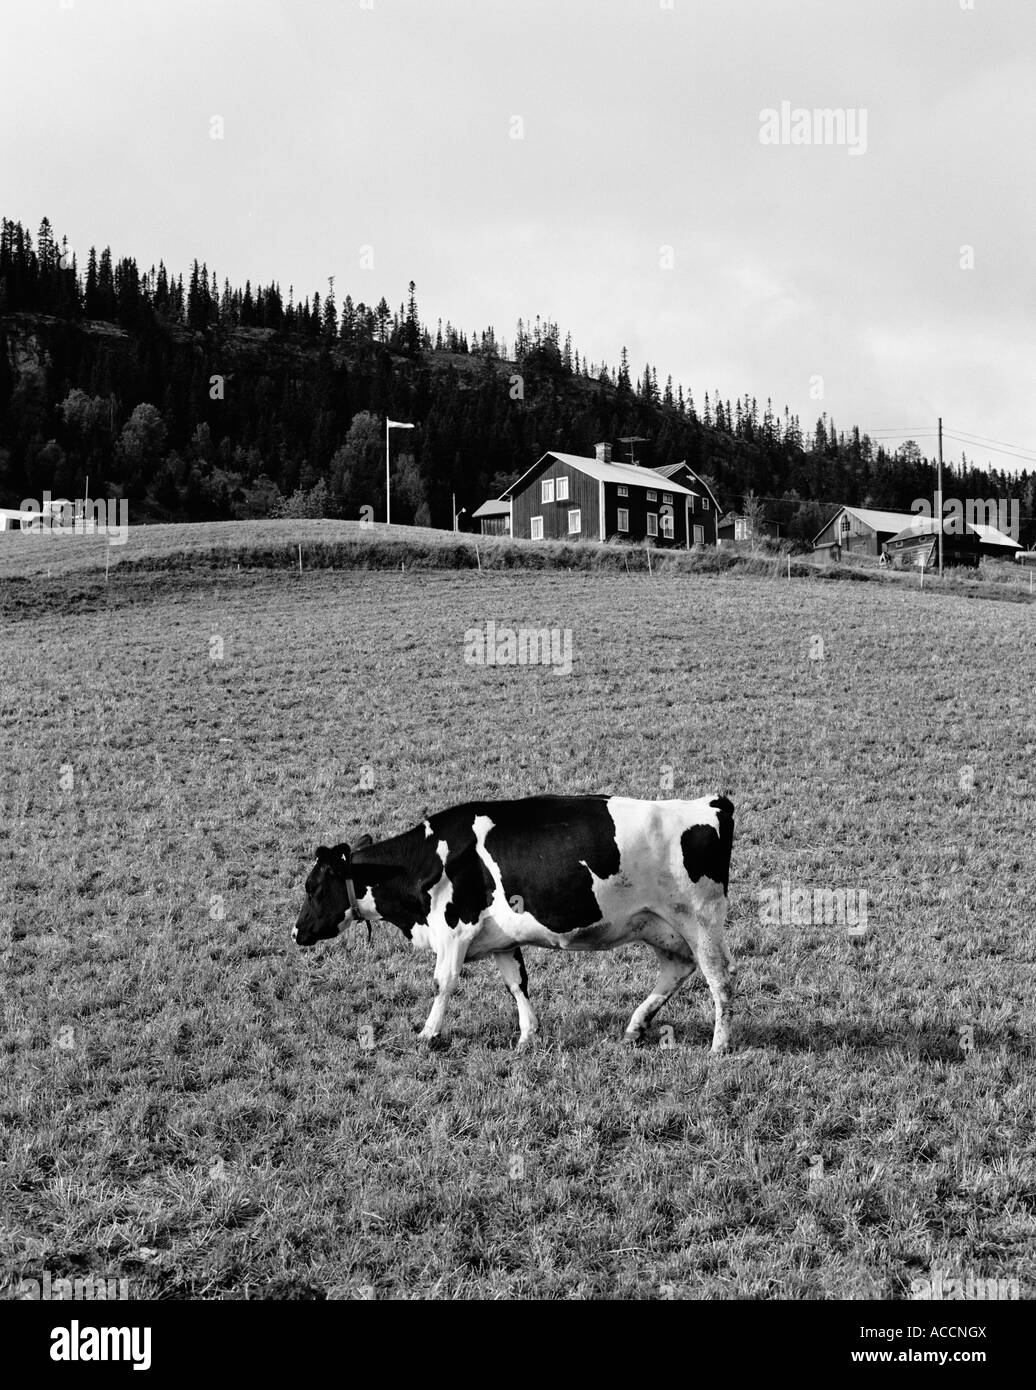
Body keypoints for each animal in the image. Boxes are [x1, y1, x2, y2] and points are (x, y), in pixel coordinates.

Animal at [292, 793, 735, 1052]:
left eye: (313, 887)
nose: (296, 932)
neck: (427, 858)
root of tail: (710, 803)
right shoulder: (503, 940)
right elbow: (516, 983)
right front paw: (527, 1035)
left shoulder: (454, 929)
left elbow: (443, 983)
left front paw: (428, 1034)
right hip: (658, 925)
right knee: (678, 969)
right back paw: (635, 1027)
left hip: (701, 920)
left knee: (719, 978)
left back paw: (719, 1046)